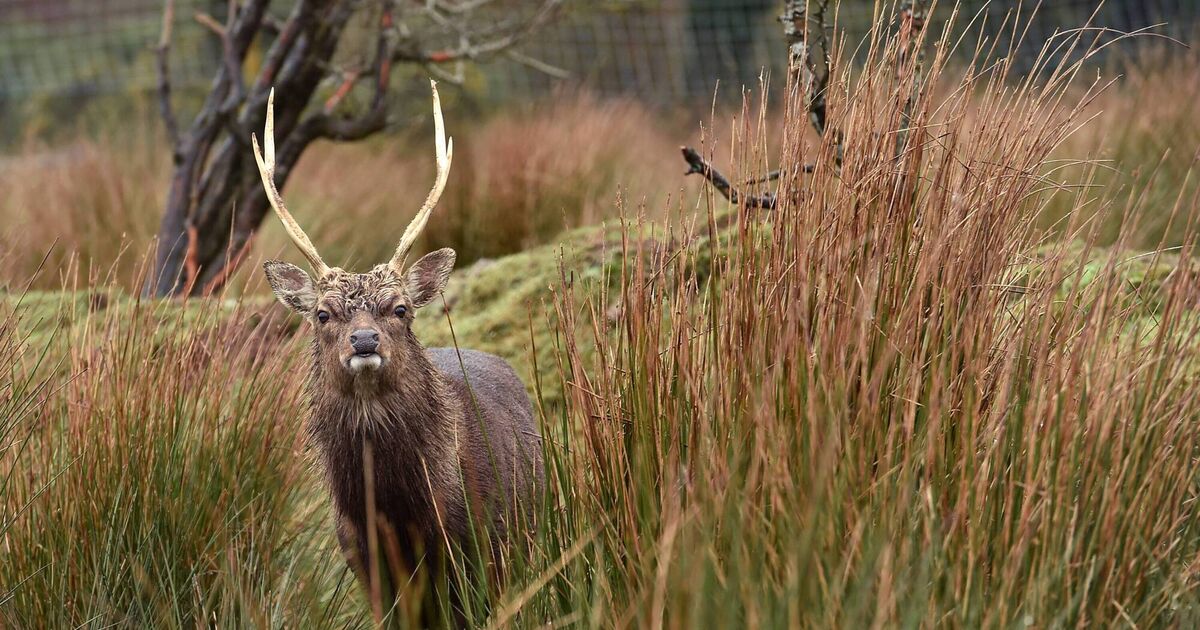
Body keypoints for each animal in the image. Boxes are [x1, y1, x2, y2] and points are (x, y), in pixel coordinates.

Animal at [252, 82, 544, 622]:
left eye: (401, 308)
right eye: (322, 314)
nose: (365, 340)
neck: (402, 511)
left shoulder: (479, 547)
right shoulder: (361, 558)